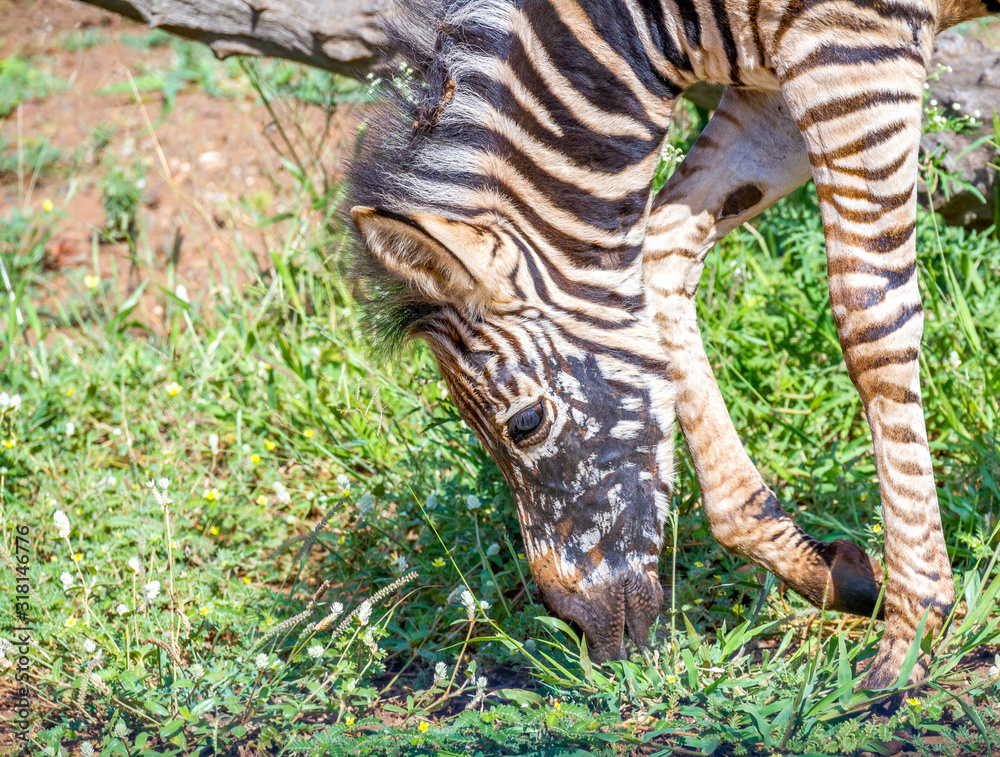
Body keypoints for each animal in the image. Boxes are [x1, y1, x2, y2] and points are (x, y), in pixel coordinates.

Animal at [347, 0, 999, 692]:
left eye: (525, 424)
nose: (584, 632)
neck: (644, 24)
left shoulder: (853, 50)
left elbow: (869, 314)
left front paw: (912, 629)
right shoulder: (776, 81)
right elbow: (659, 253)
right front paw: (827, 573)